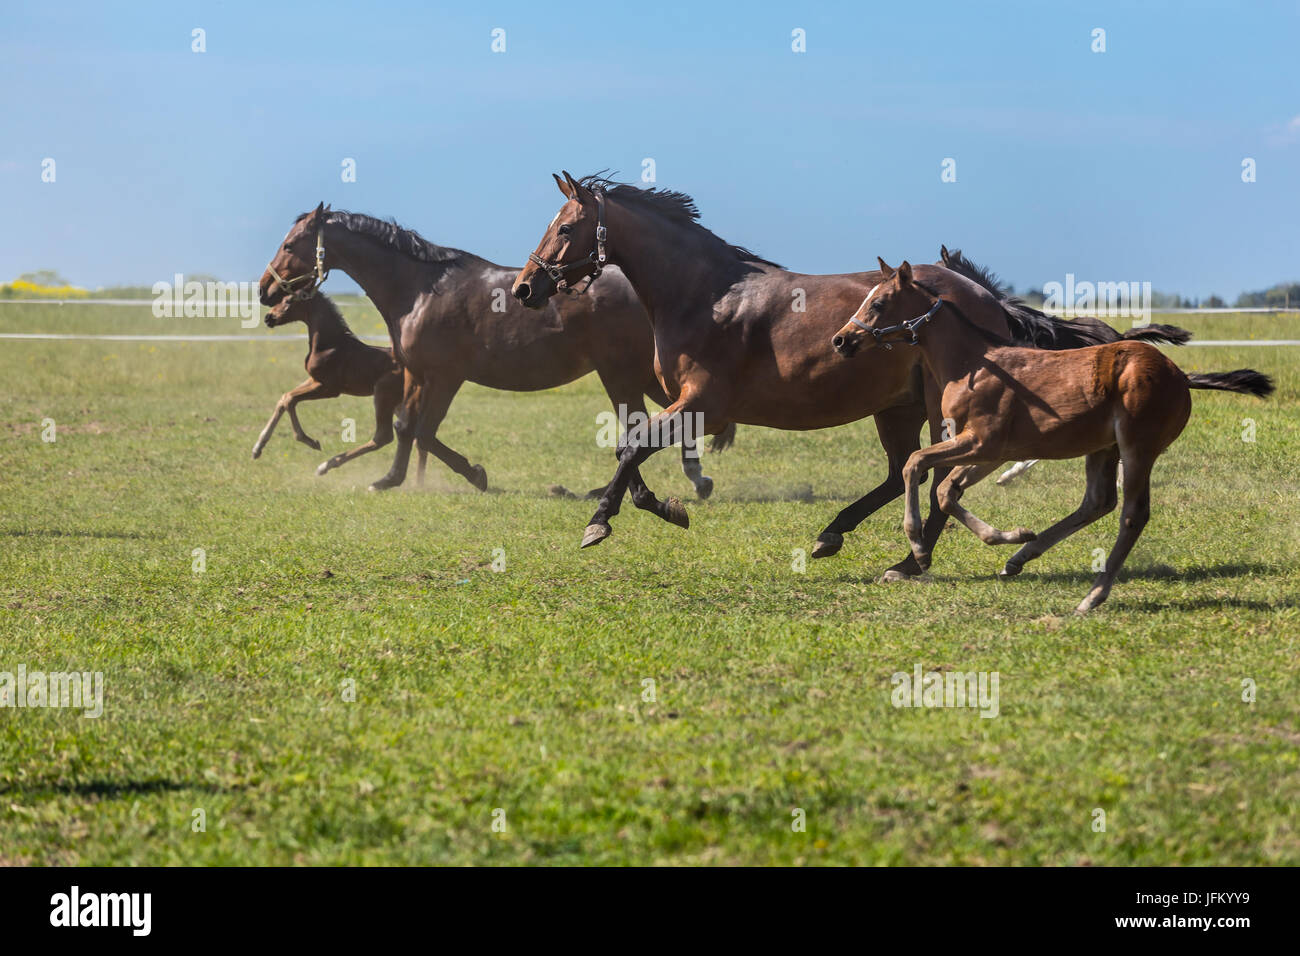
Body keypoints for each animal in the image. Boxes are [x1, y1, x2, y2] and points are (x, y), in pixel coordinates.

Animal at [251, 292, 427, 480]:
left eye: (289, 300)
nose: (268, 317)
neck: (330, 345)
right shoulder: (313, 380)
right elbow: (284, 398)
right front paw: (257, 449)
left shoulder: (329, 388)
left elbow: (290, 399)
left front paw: (309, 441)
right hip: (399, 403)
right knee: (418, 437)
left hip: (383, 395)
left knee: (384, 436)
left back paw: (325, 466)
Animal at [511, 172, 1191, 578]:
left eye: (565, 228)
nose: (523, 288)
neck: (704, 295)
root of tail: (985, 296)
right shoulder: (684, 403)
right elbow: (633, 447)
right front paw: (661, 506)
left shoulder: (701, 401)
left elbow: (632, 446)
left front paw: (602, 522)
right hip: (899, 408)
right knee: (904, 474)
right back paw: (842, 538)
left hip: (935, 408)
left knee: (931, 478)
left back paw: (909, 558)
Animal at [831, 259, 1273, 613]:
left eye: (878, 303)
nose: (841, 340)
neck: (972, 361)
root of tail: (1180, 375)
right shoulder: (991, 450)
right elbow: (946, 490)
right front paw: (1009, 536)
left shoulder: (981, 441)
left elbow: (914, 464)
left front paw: (919, 551)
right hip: (1103, 448)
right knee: (1098, 502)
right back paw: (1022, 556)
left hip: (1137, 447)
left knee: (1133, 514)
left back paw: (1093, 596)